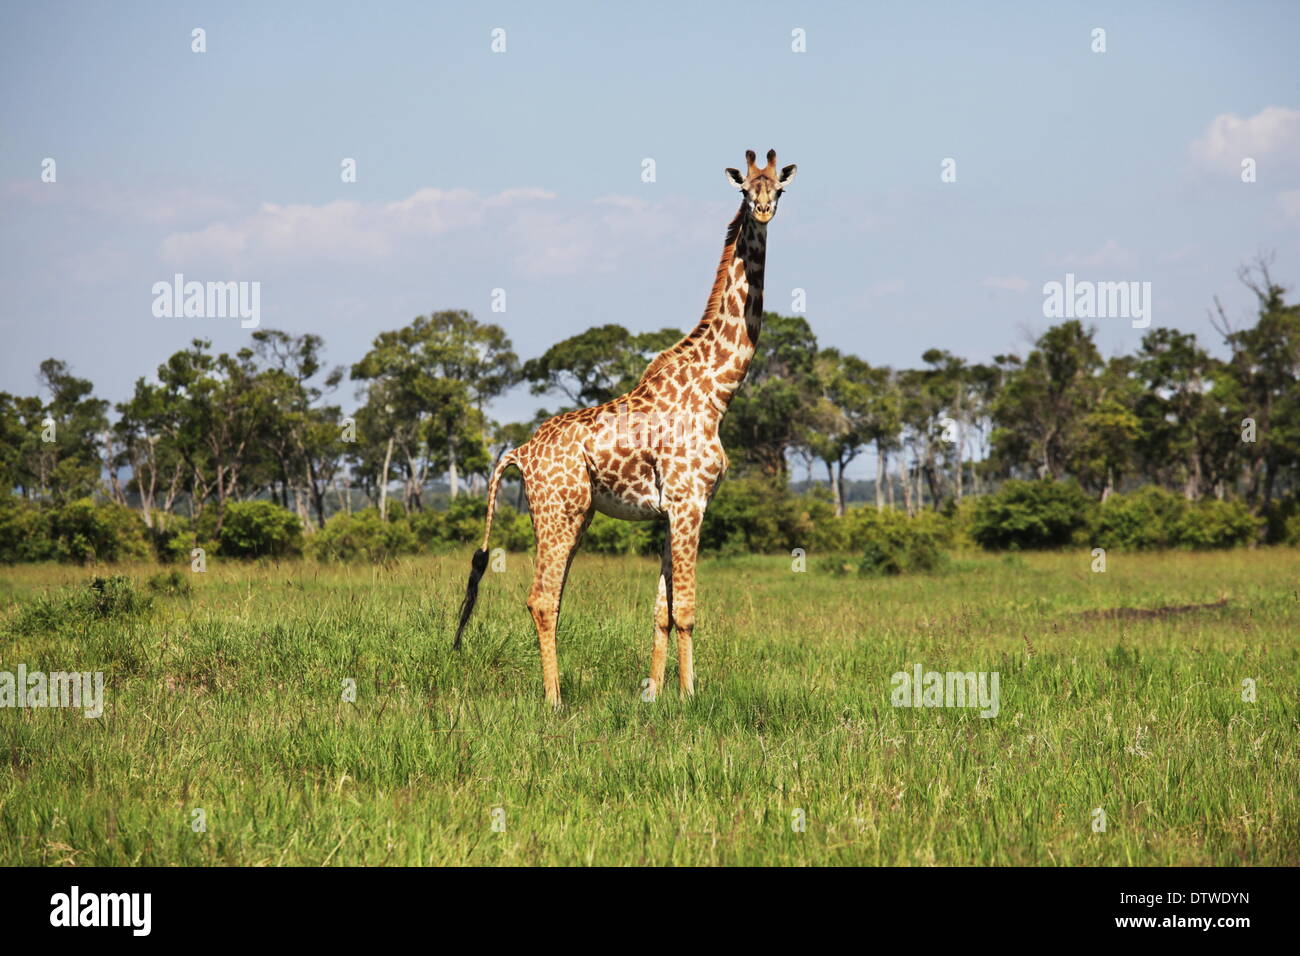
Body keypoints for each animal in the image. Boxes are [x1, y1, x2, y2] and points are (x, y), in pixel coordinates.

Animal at [454, 149, 797, 708]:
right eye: (746, 190)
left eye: (780, 188)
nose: (765, 210)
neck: (717, 392)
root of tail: (519, 453)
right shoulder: (690, 501)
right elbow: (687, 609)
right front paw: (690, 696)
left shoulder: (668, 511)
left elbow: (661, 610)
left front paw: (653, 695)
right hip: (561, 510)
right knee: (542, 599)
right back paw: (554, 701)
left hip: (572, 515)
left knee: (553, 597)